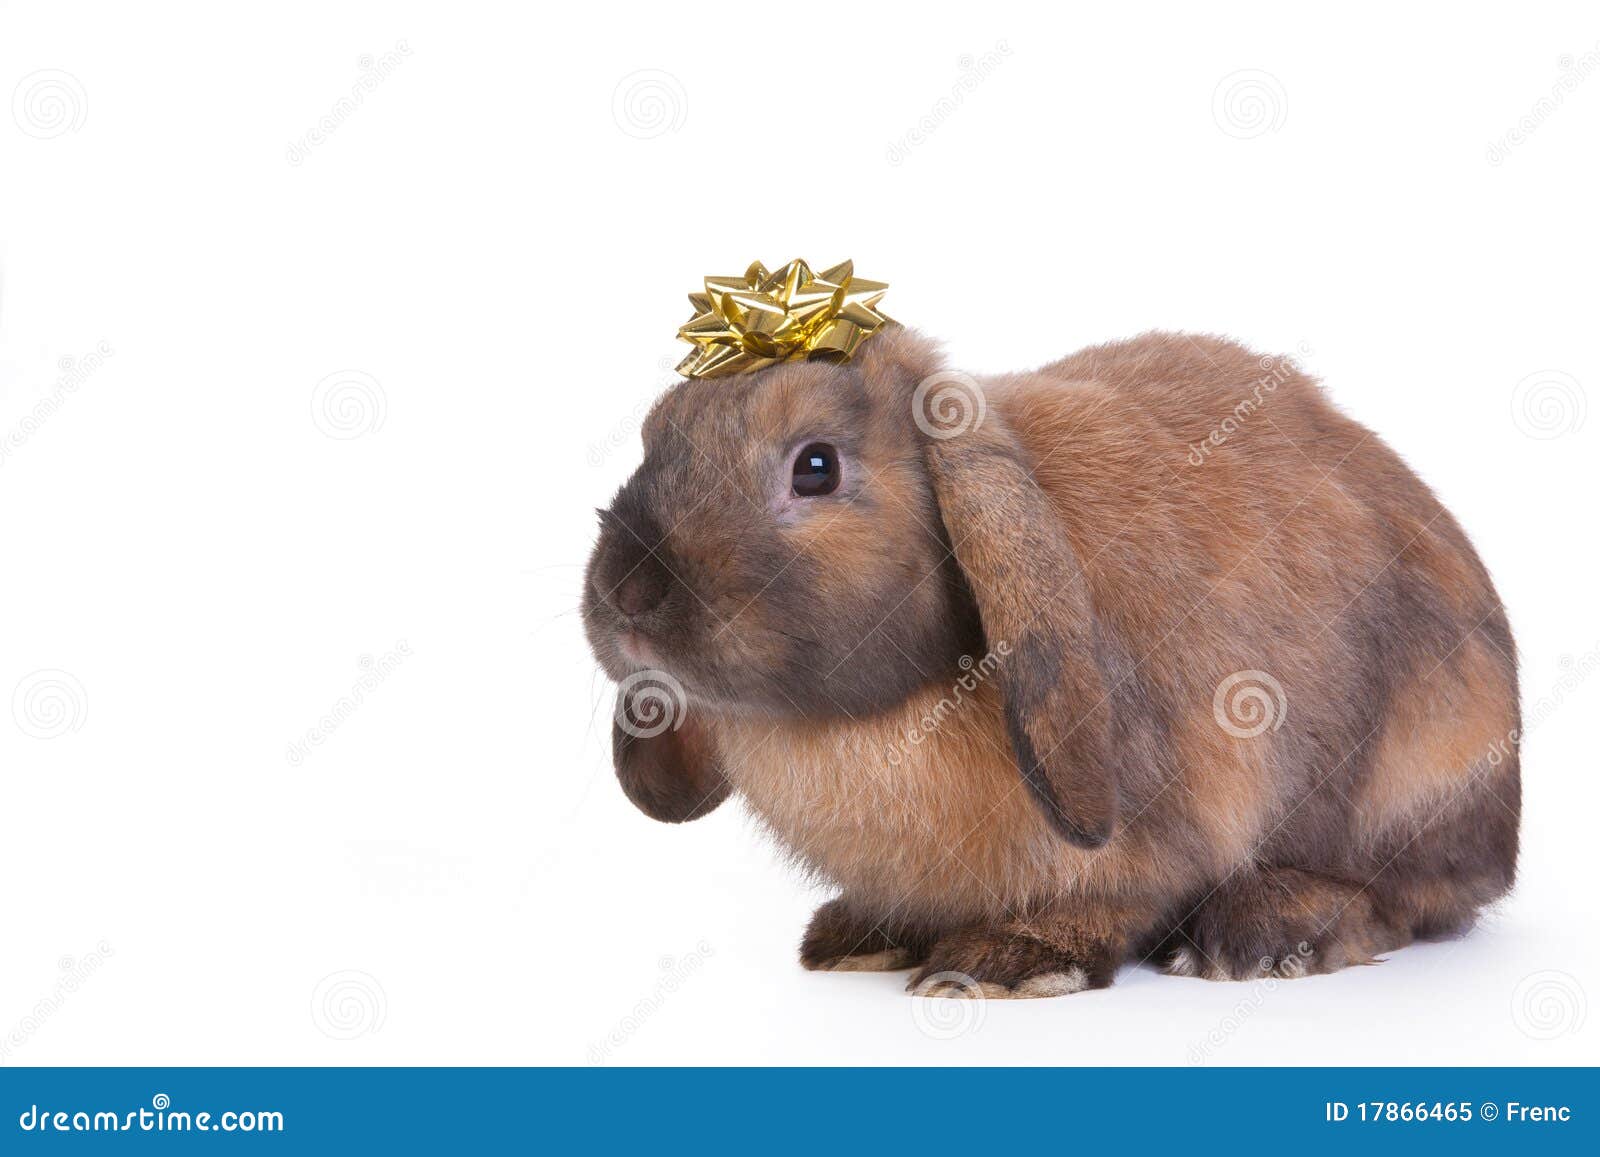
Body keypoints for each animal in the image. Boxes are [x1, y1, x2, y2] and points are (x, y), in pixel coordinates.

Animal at [582, 324, 1520, 998]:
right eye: (652, 438)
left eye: (815, 466)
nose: (628, 592)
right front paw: (860, 938)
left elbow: (1112, 894)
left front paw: (1005, 961)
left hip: (1414, 779)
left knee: (1405, 898)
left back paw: (1262, 934)